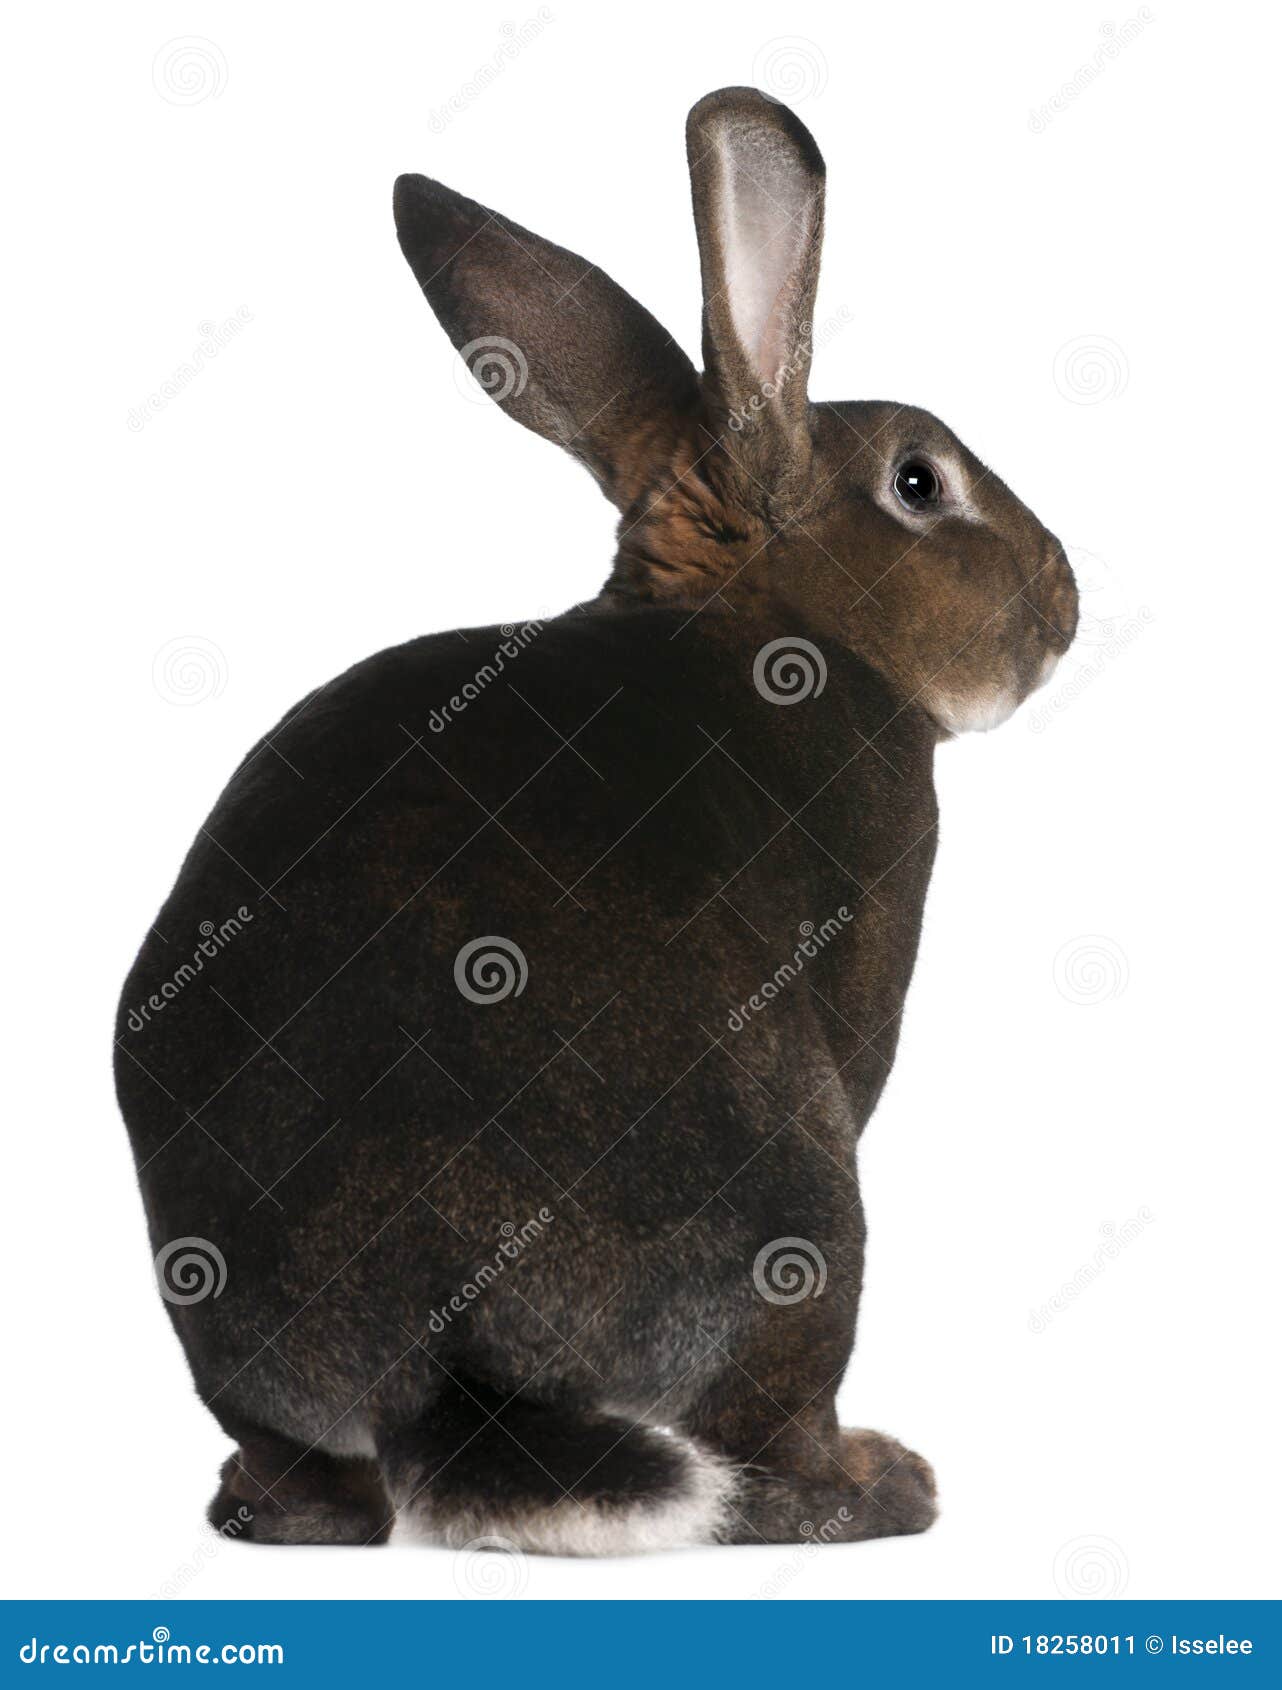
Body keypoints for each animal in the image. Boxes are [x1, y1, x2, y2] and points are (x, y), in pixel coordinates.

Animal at [114, 86, 1078, 1556]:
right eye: (920, 482)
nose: (1064, 604)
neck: (764, 615)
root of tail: (433, 1370)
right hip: (806, 1212)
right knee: (761, 1446)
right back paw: (883, 1484)